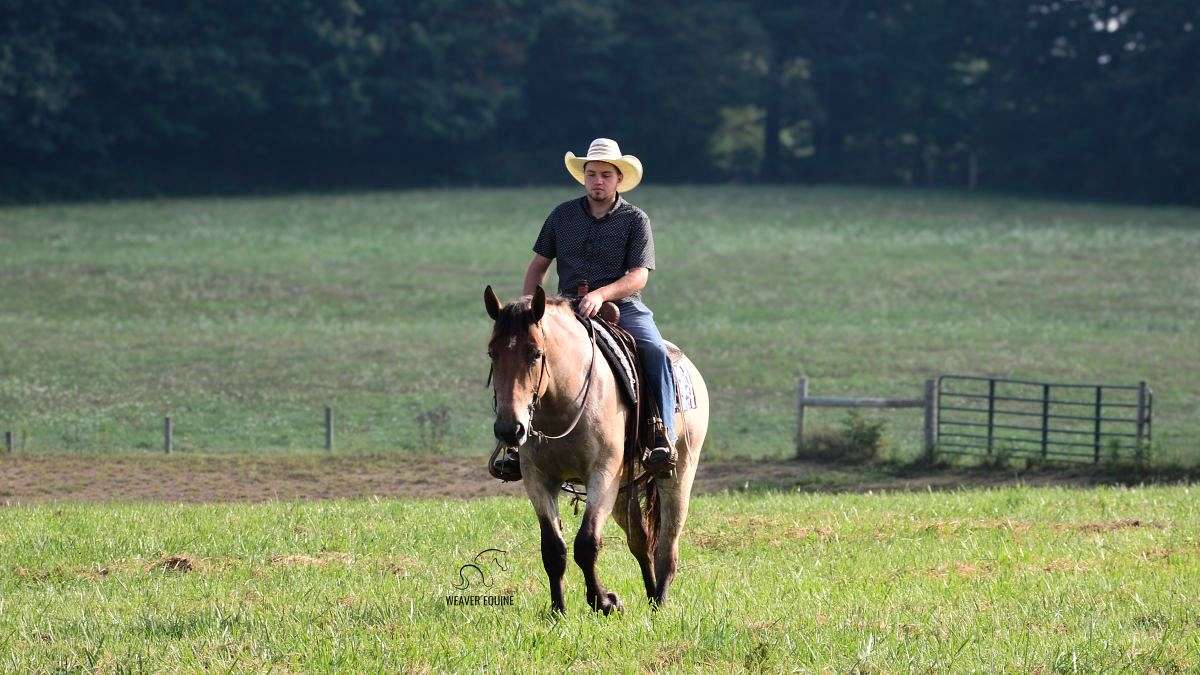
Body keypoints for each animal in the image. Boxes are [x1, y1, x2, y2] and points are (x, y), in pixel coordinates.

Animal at [484, 284, 709, 614]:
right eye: (492, 352)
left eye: (535, 353)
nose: (509, 430)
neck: (562, 402)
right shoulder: (537, 479)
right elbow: (553, 549)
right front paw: (558, 609)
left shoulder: (602, 475)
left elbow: (587, 543)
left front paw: (603, 602)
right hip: (625, 488)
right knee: (640, 541)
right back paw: (650, 595)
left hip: (678, 475)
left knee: (667, 544)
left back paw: (660, 602)